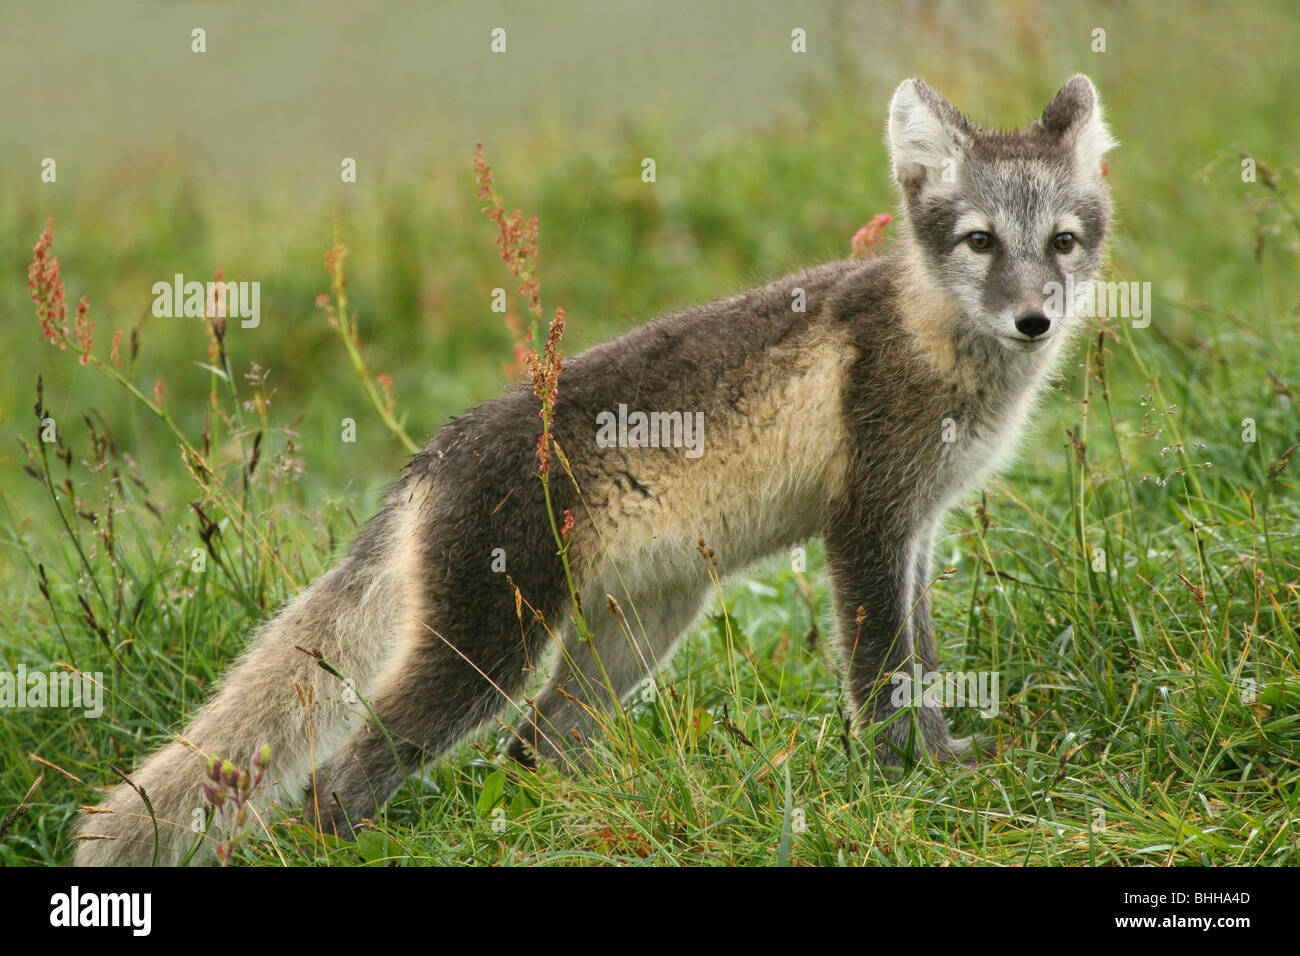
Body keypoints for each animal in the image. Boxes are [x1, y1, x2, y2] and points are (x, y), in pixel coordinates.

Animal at [75, 74, 1116, 865]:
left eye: (1062, 240)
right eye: (979, 240)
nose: (1036, 320)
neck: (935, 340)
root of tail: (433, 457)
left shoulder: (918, 529)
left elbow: (924, 660)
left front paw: (951, 761)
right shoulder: (864, 523)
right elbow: (884, 675)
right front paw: (913, 782)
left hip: (639, 627)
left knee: (531, 752)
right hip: (488, 646)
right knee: (341, 780)